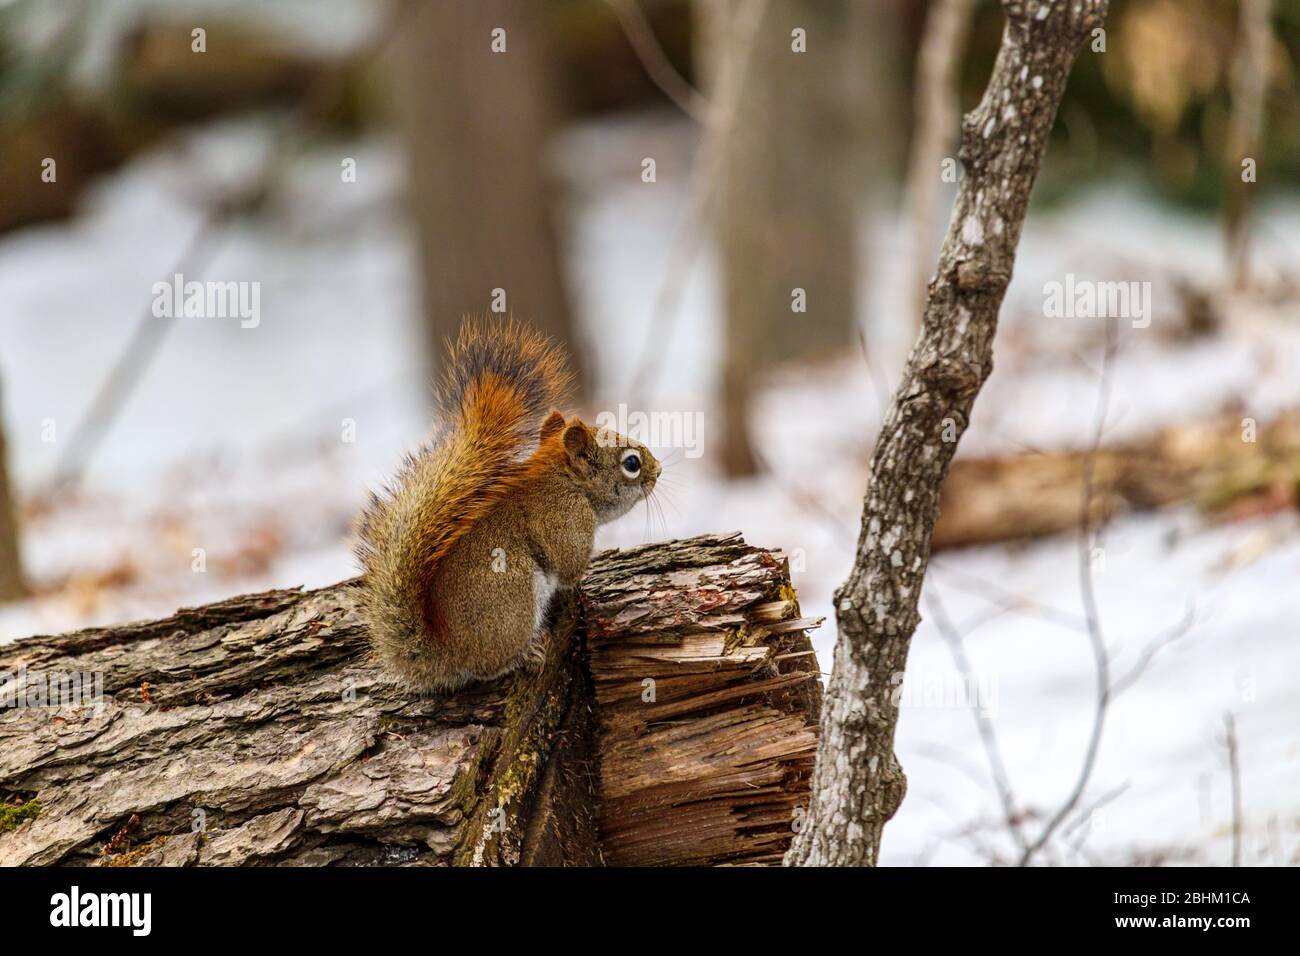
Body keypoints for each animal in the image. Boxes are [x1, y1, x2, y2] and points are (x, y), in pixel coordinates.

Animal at [355, 317, 661, 694]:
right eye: (632, 464)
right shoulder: (565, 519)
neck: (566, 480)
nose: (659, 471)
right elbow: (570, 565)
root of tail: (448, 653)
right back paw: (524, 655)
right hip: (514, 595)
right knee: (489, 667)